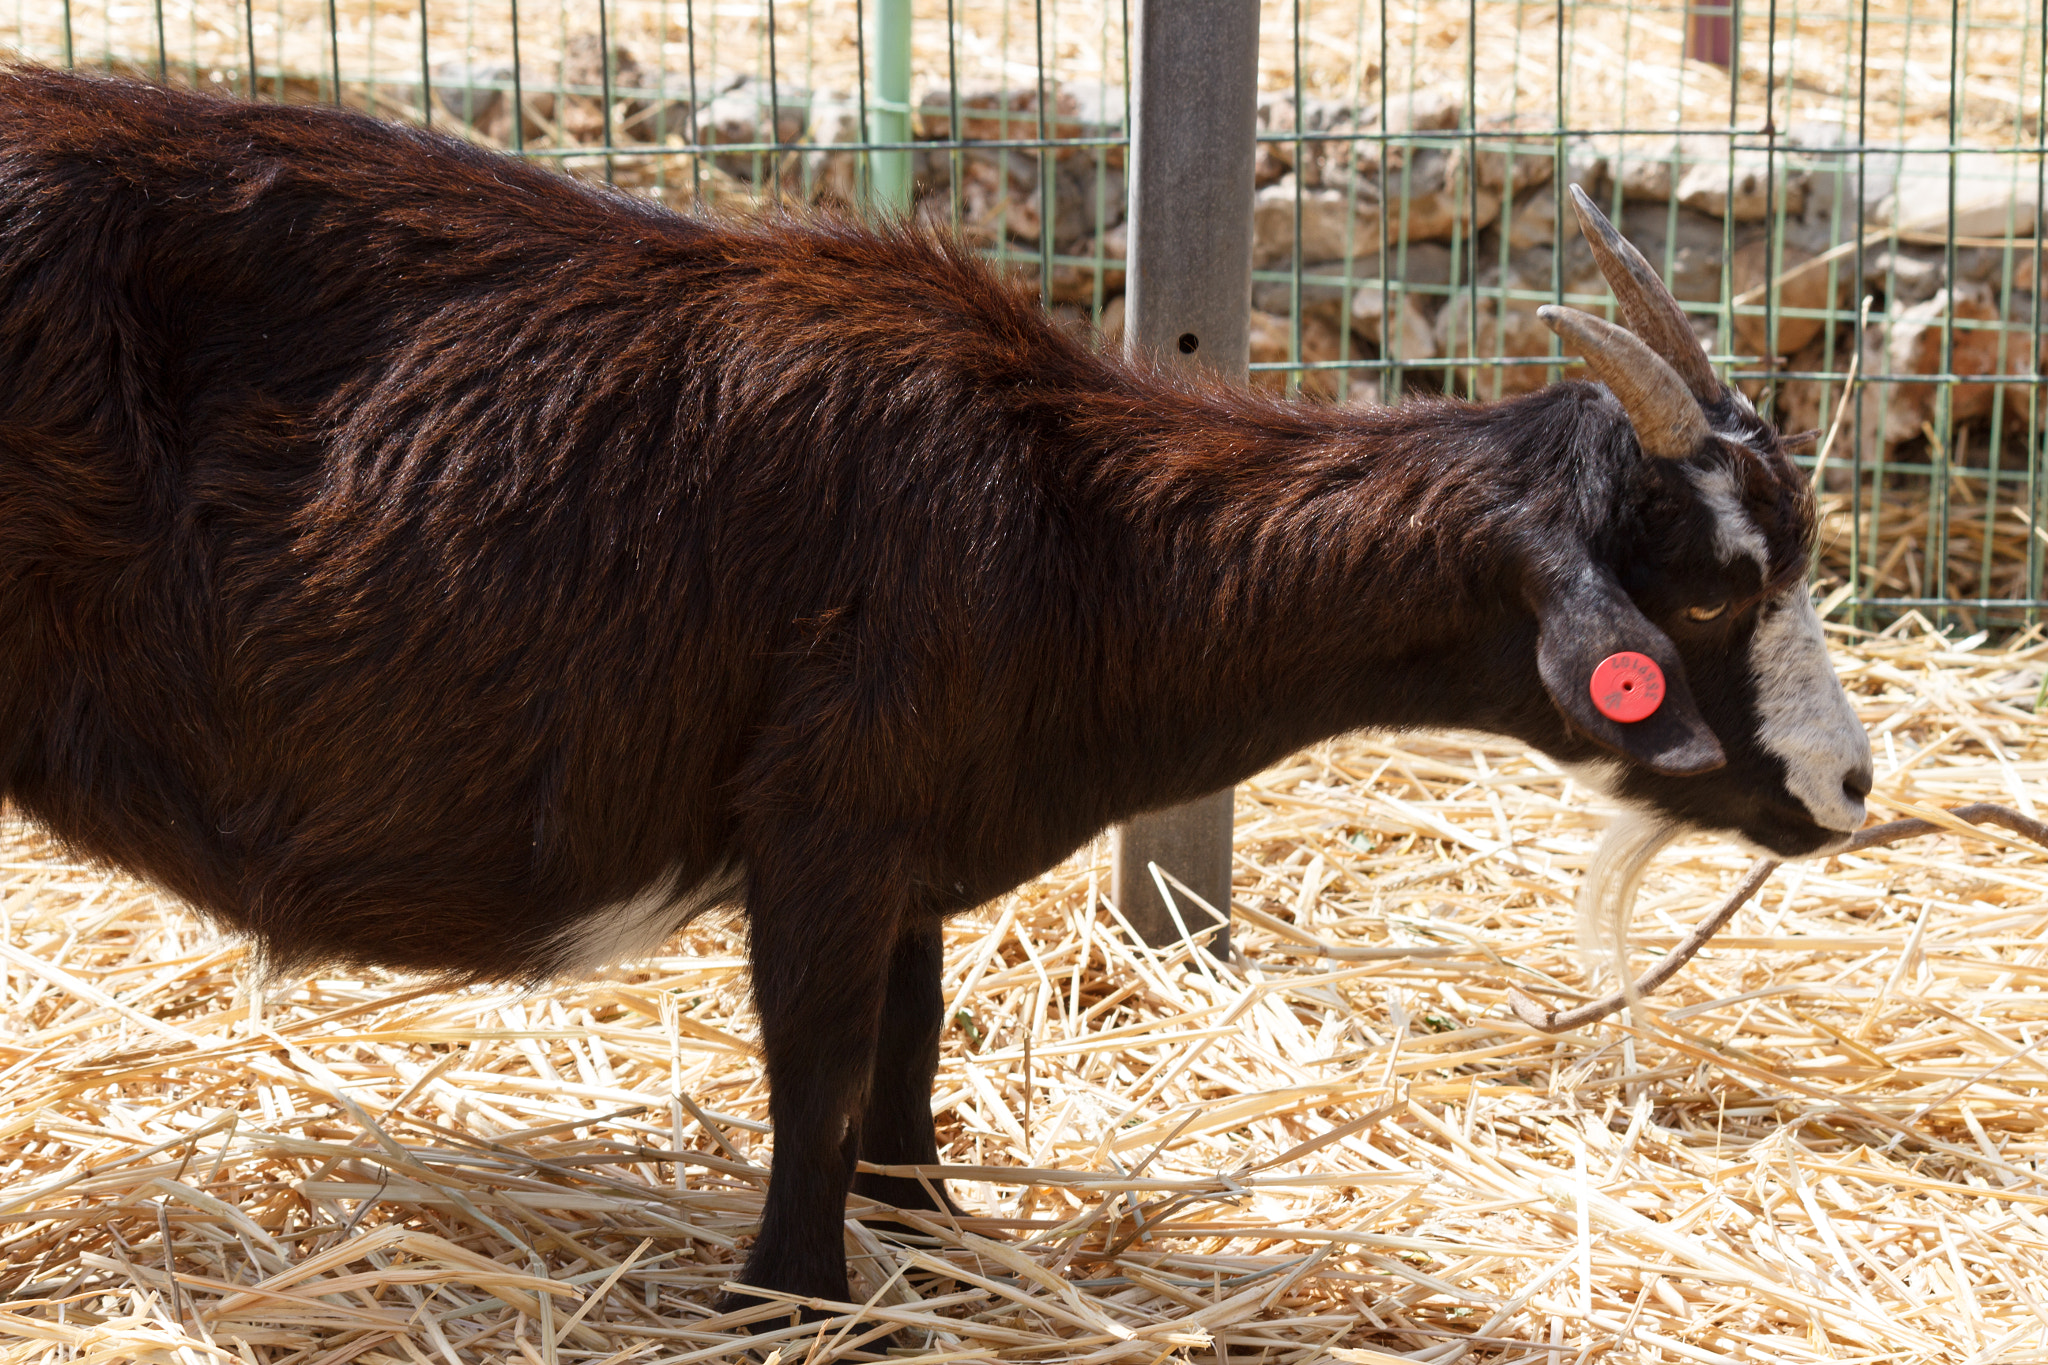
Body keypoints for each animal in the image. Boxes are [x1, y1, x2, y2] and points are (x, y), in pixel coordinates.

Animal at [0, 68, 1870, 1313]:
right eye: (1711, 585)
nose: (1851, 787)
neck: (1075, 535)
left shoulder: (904, 835)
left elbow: (908, 1036)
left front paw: (926, 1232)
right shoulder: (825, 821)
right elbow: (820, 1059)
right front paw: (795, 1295)